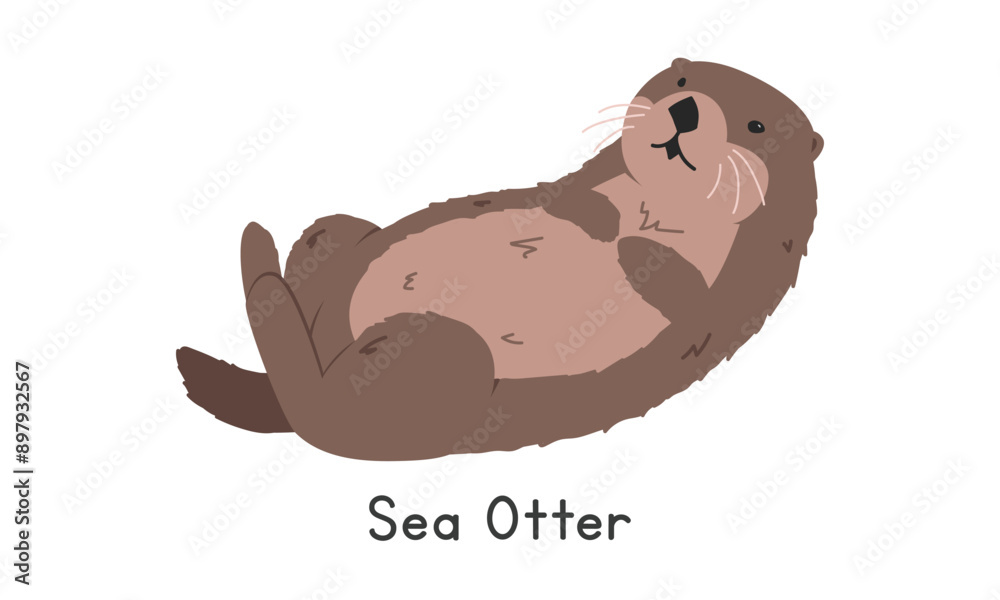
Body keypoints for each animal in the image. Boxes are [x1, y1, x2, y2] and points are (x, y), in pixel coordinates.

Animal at [178, 58, 823, 461]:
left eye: (756, 125)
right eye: (681, 80)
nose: (687, 108)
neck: (654, 210)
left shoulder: (736, 284)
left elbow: (689, 295)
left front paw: (637, 252)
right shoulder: (586, 185)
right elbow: (572, 199)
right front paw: (602, 224)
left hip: (447, 362)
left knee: (323, 408)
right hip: (345, 251)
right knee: (328, 248)